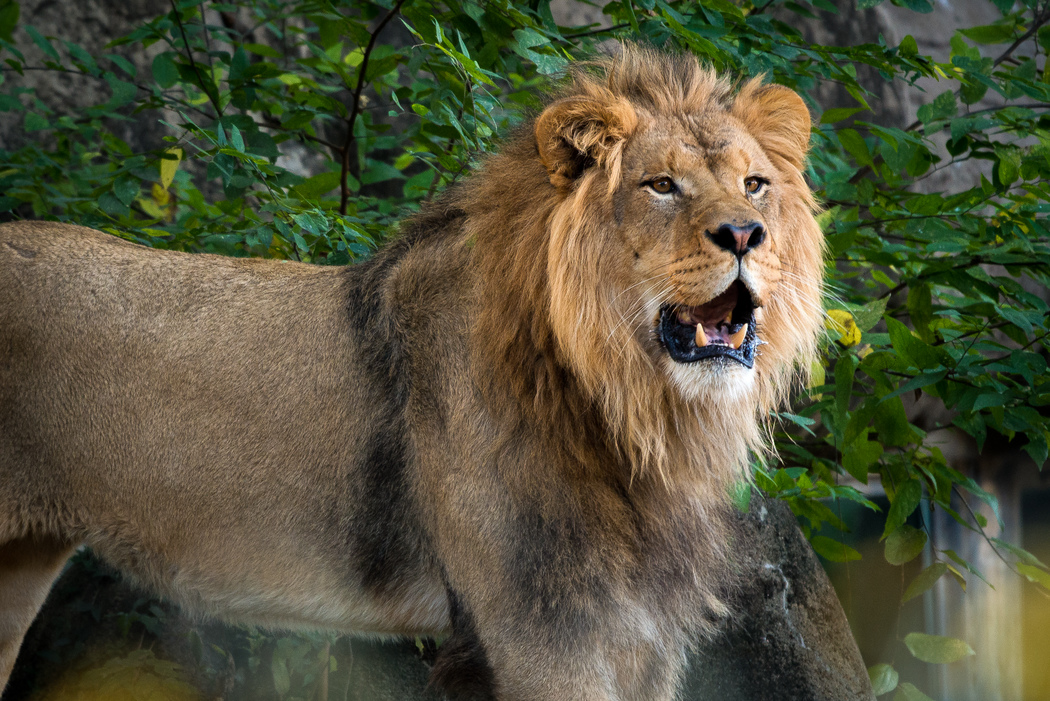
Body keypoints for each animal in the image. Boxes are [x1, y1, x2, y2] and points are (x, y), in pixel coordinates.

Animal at [0, 45, 823, 700]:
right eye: (661, 185)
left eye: (754, 184)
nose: (745, 234)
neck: (633, 407)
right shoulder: (544, 631)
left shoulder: (637, 638)